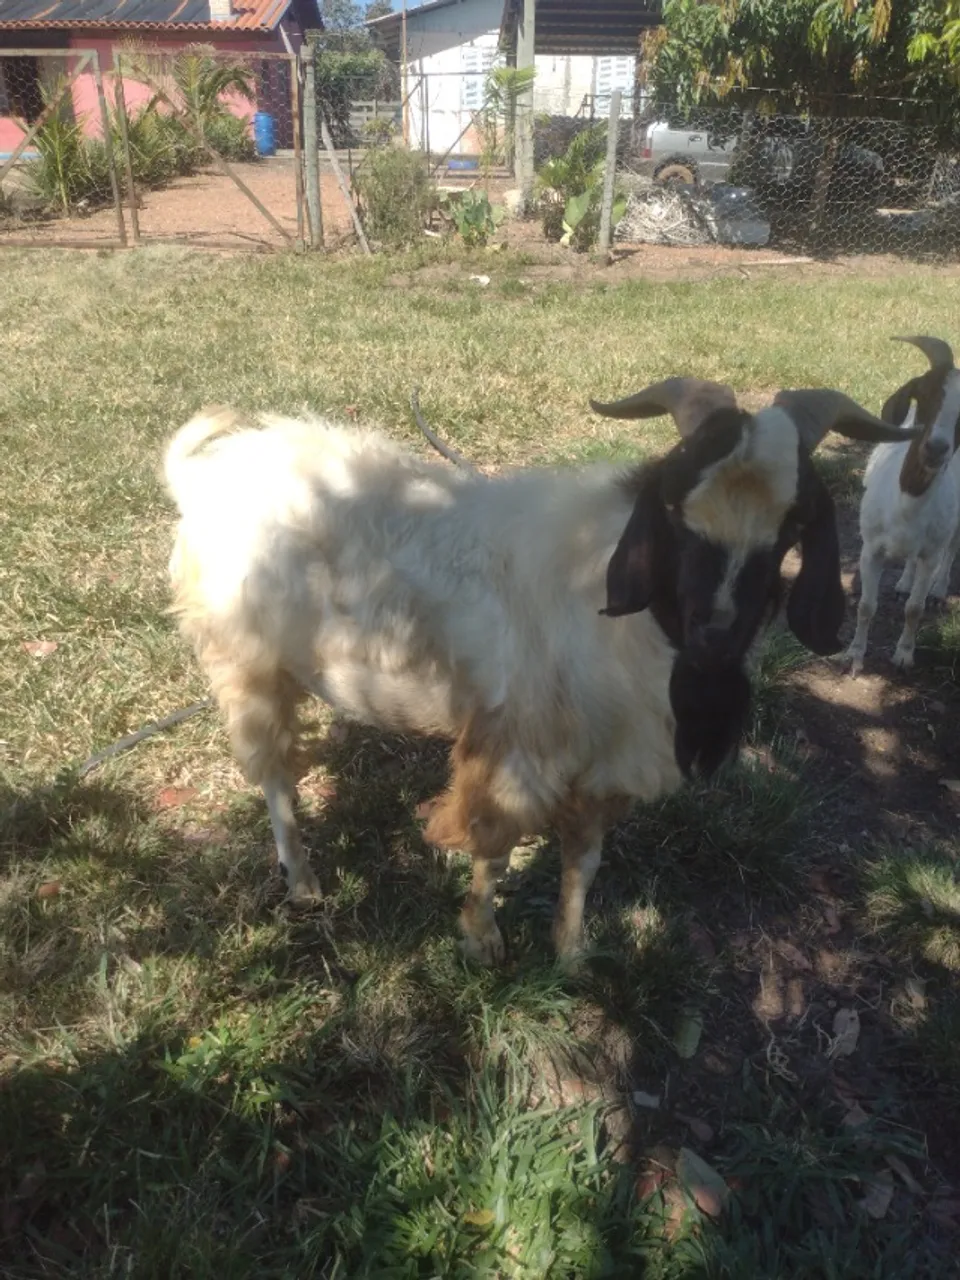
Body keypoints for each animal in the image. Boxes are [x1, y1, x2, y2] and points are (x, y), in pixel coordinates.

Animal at [164, 384, 914, 965]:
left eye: (789, 528)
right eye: (676, 512)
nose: (715, 634)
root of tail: (204, 475)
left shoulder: (604, 765)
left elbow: (584, 860)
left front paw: (572, 950)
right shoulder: (517, 747)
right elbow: (493, 848)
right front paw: (482, 941)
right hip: (244, 661)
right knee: (274, 776)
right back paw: (303, 882)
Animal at [845, 336, 960, 676]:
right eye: (922, 393)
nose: (936, 448)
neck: (907, 505)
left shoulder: (930, 554)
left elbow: (914, 609)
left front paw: (904, 655)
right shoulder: (871, 547)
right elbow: (866, 606)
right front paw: (854, 656)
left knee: (952, 548)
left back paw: (938, 590)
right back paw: (903, 583)